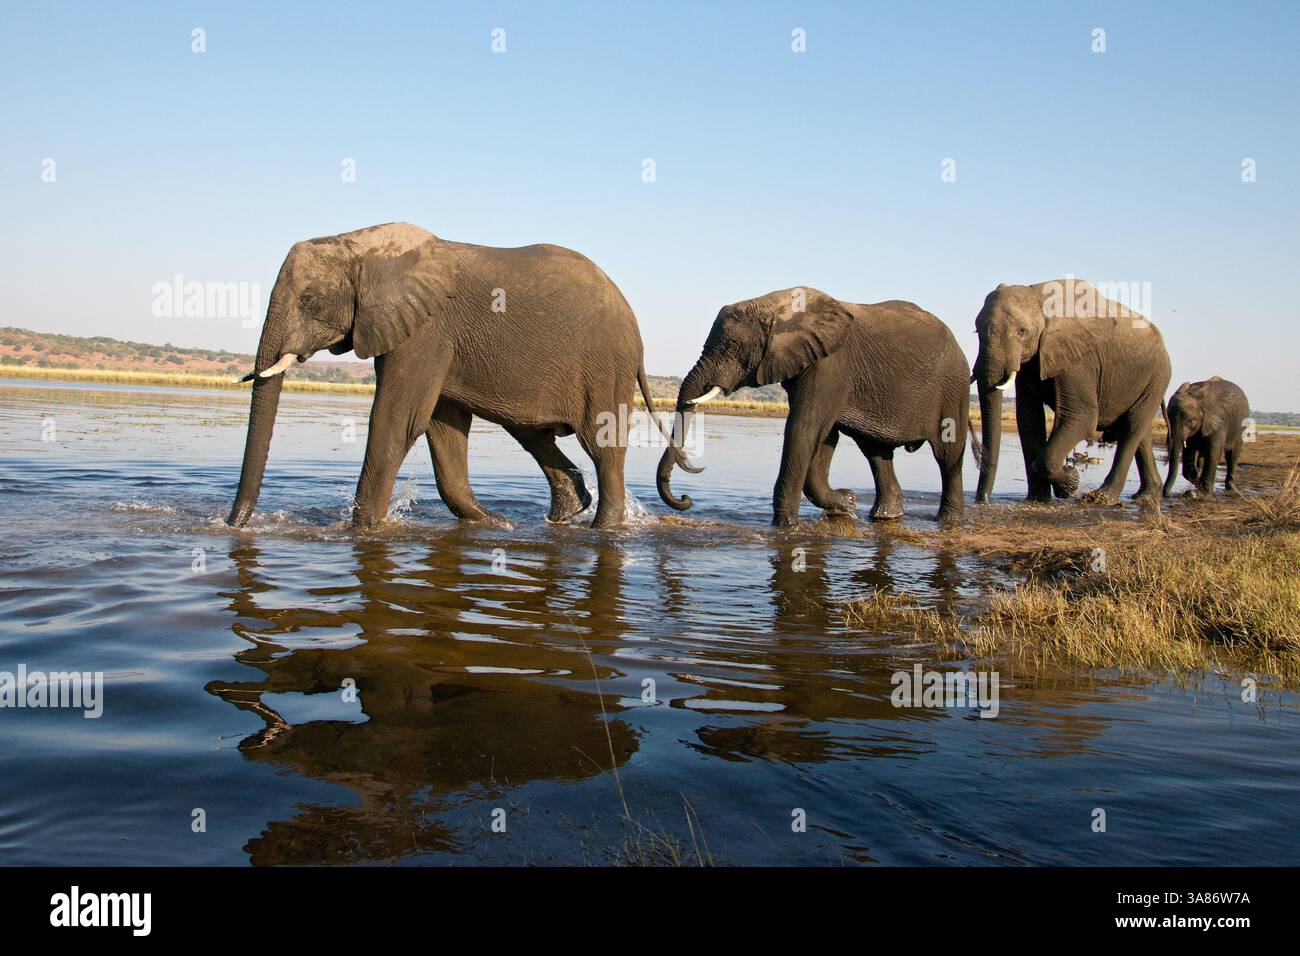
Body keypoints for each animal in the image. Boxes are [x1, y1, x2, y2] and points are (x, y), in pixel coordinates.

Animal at [227, 222, 696, 530]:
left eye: (308, 300)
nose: (234, 525)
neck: (361, 245)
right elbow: (442, 427)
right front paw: (496, 525)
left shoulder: (426, 330)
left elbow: (397, 421)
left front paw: (361, 531)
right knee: (534, 435)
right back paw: (564, 514)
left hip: (605, 366)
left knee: (603, 446)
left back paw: (603, 529)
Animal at [657, 288, 971, 526]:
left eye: (732, 346)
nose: (685, 498)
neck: (777, 306)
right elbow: (824, 436)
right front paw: (846, 503)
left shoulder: (830, 365)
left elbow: (804, 429)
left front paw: (785, 526)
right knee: (877, 453)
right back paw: (885, 517)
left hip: (954, 386)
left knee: (947, 453)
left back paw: (948, 520)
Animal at [971, 278, 1171, 505]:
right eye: (977, 331)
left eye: (1022, 332)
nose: (982, 500)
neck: (1039, 298)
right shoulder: (1033, 358)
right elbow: (1029, 419)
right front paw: (1038, 499)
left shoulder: (1079, 358)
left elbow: (1081, 416)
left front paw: (1070, 482)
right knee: (1141, 434)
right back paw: (1145, 496)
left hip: (1158, 375)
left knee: (1131, 430)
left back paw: (1102, 498)